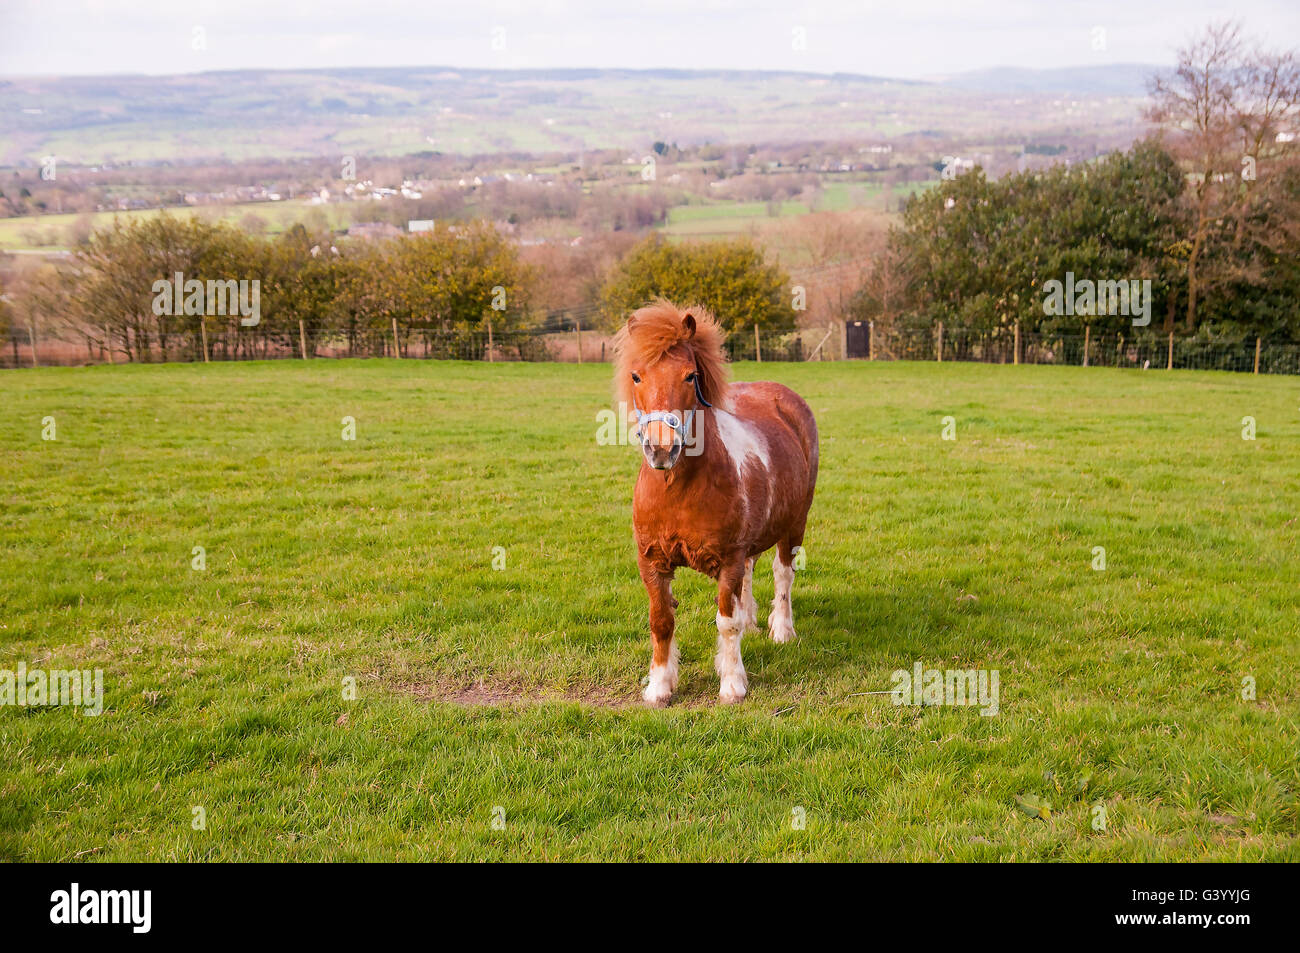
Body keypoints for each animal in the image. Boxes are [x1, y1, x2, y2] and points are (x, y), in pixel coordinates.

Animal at [614, 300, 819, 706]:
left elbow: (727, 621)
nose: (661, 448)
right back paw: (755, 622)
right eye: (636, 376)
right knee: (753, 572)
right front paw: (660, 686)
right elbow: (661, 620)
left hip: (795, 522)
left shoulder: (728, 561)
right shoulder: (652, 561)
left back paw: (782, 630)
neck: (678, 488)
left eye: (690, 376)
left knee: (783, 573)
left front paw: (732, 684)